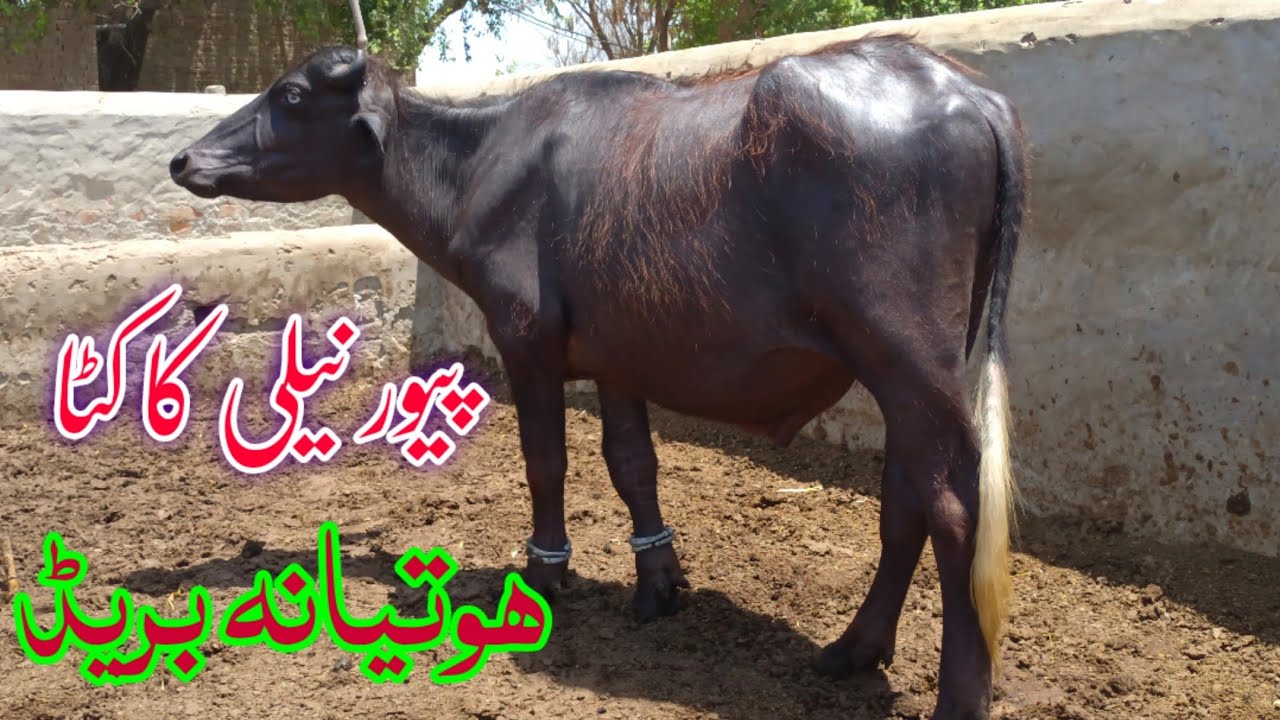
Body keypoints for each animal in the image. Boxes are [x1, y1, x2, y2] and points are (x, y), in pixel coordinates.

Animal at [171, 35, 1026, 720]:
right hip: (911, 374)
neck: (479, 166)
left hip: (907, 357)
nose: (185, 159)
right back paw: (853, 647)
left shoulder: (526, 342)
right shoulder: (621, 357)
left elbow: (546, 461)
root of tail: (971, 94)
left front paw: (545, 574)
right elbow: (632, 464)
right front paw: (658, 582)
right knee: (905, 497)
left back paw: (960, 694)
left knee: (954, 507)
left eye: (290, 94)